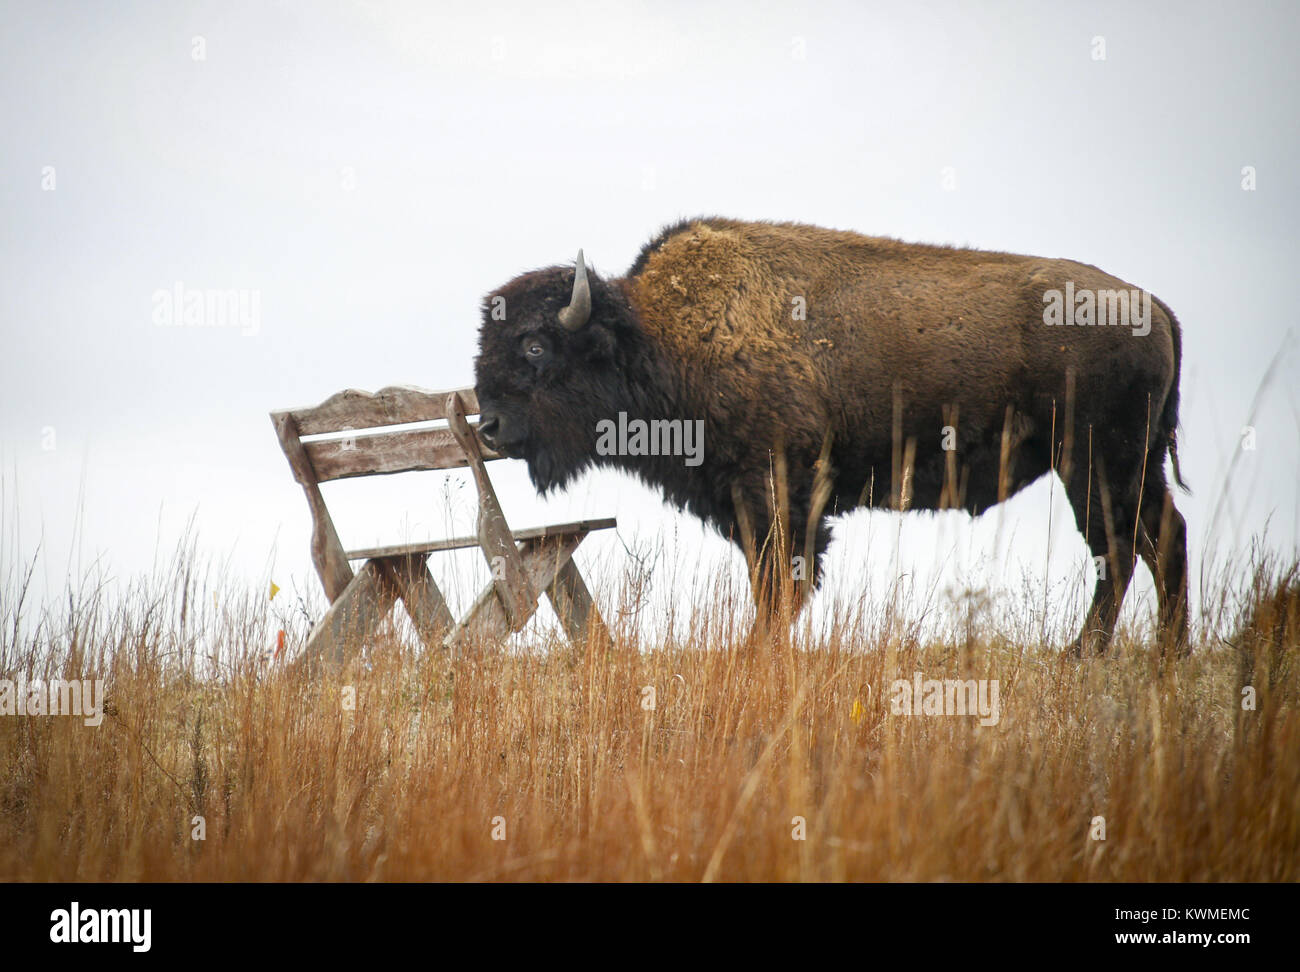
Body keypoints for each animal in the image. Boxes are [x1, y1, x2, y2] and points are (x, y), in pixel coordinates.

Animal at [474, 218, 1189, 655]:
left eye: (535, 345)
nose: (489, 426)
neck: (658, 336)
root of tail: (1155, 308)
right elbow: (772, 578)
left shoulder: (774, 487)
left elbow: (780, 578)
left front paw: (756, 651)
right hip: (1127, 465)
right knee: (1159, 540)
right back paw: (1164, 651)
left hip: (1096, 462)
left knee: (1123, 547)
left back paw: (1085, 653)